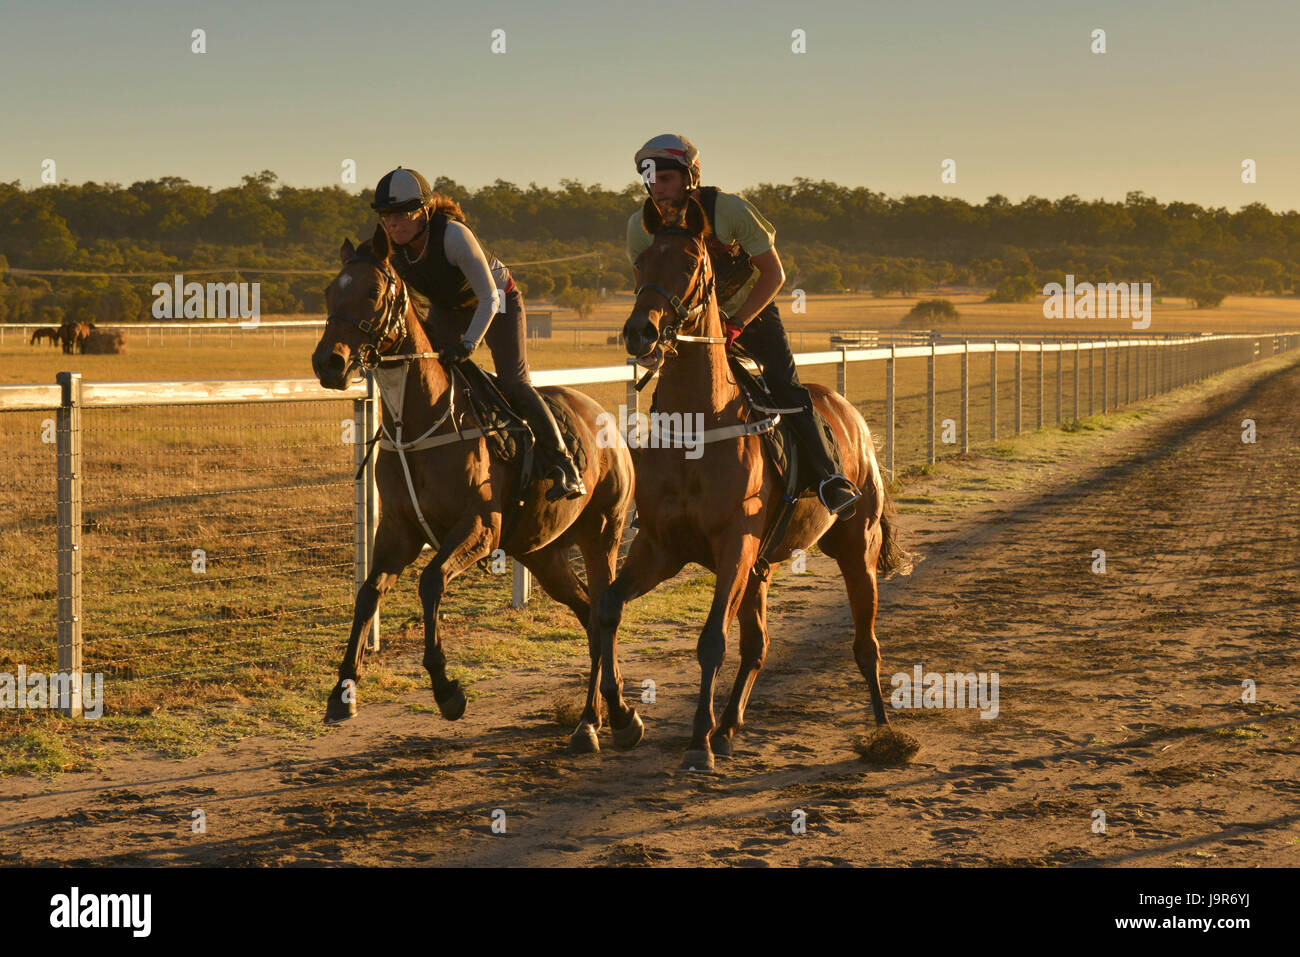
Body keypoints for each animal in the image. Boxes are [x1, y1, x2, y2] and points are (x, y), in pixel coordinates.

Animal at [311, 225, 635, 752]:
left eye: (373, 293)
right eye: (327, 292)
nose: (328, 363)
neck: (420, 419)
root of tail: (605, 419)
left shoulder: (480, 528)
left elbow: (430, 581)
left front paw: (446, 689)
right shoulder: (398, 530)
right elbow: (368, 592)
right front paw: (342, 693)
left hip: (601, 534)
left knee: (605, 615)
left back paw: (609, 715)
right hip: (543, 554)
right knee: (589, 615)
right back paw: (601, 717)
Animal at [592, 196, 909, 771]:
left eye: (690, 263)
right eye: (641, 261)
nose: (640, 332)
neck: (700, 425)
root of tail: (849, 413)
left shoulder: (733, 545)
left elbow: (711, 640)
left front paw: (697, 740)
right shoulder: (661, 547)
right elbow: (608, 608)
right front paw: (625, 718)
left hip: (857, 544)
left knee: (865, 642)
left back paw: (883, 731)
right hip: (762, 565)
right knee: (758, 644)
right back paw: (729, 726)